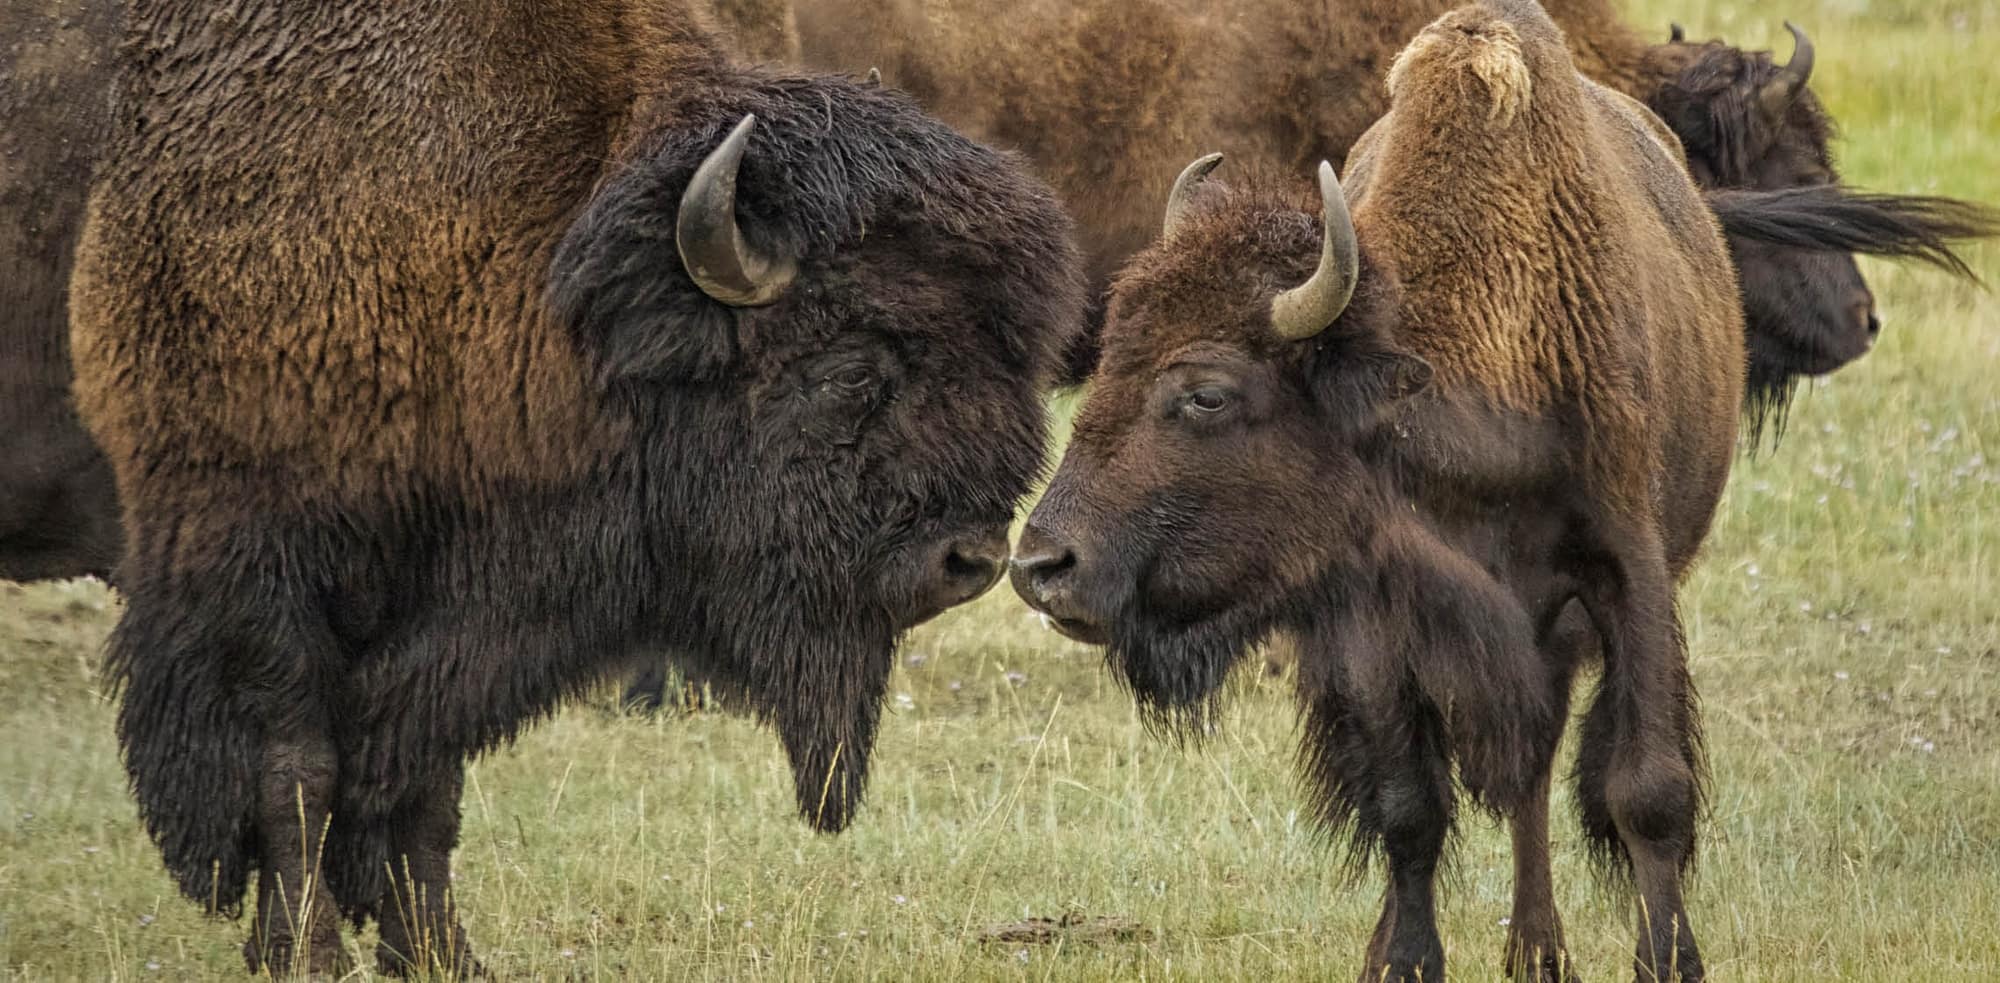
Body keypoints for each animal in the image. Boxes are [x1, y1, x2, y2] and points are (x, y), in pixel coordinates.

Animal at [69, 0, 1081, 974]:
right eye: (850, 368)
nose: (971, 558)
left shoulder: (452, 621)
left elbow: (420, 780)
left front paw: (440, 955)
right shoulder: (254, 565)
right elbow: (296, 769)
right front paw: (307, 955)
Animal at [1014, 1, 1744, 979]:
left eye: (1205, 393)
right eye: (1105, 366)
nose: (1041, 564)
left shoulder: (1629, 575)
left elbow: (1647, 790)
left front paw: (1670, 958)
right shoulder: (1372, 616)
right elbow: (1408, 808)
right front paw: (1402, 958)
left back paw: (1536, 950)